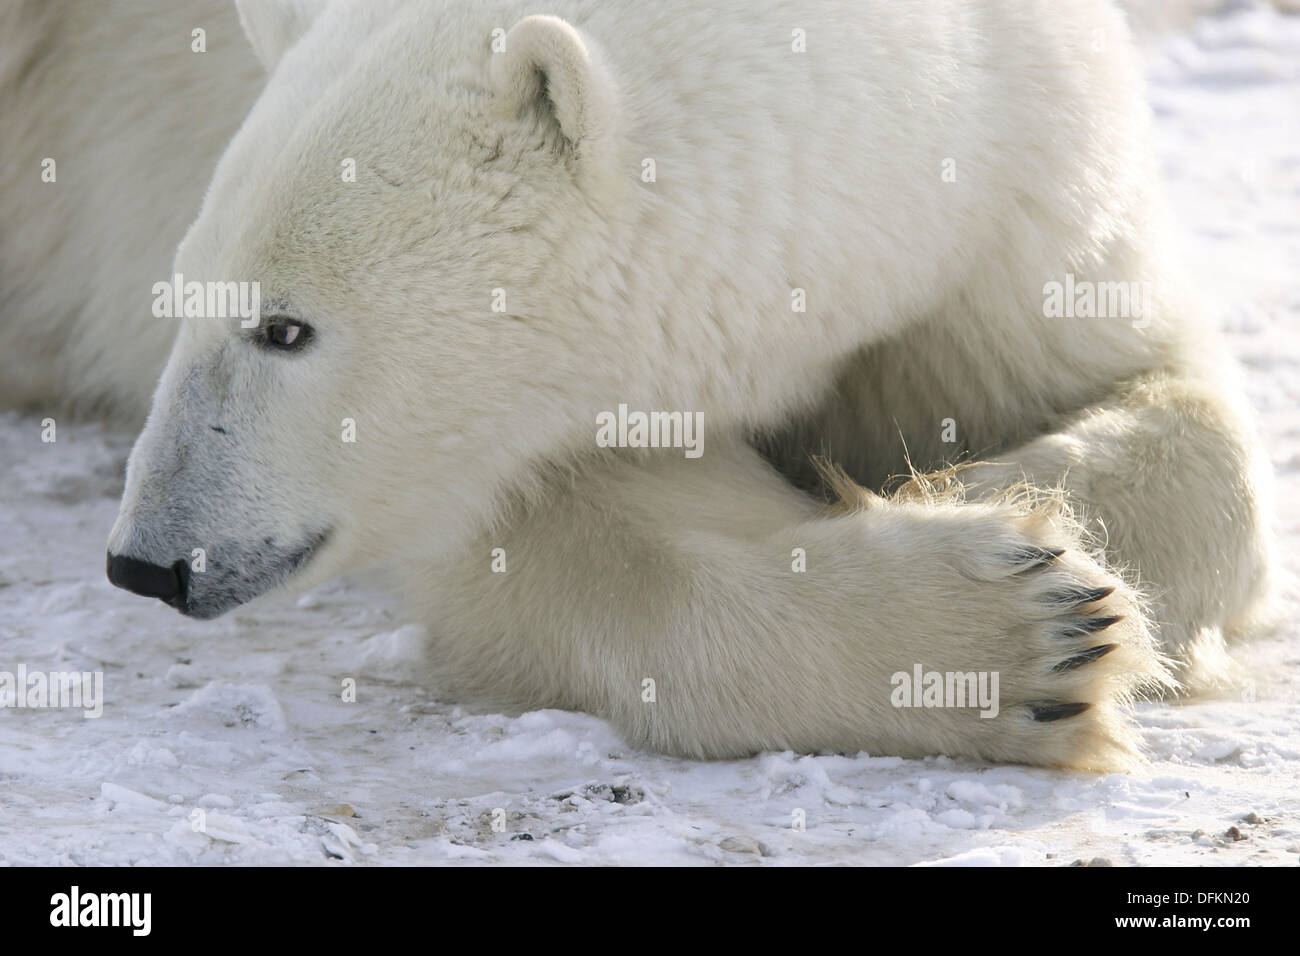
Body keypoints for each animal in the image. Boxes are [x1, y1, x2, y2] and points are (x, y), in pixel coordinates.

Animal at [10, 0, 1273, 771]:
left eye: (282, 326)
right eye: (186, 295)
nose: (149, 558)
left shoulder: (1028, 186)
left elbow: (1172, 407)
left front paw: (969, 492)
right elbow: (563, 554)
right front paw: (1022, 628)